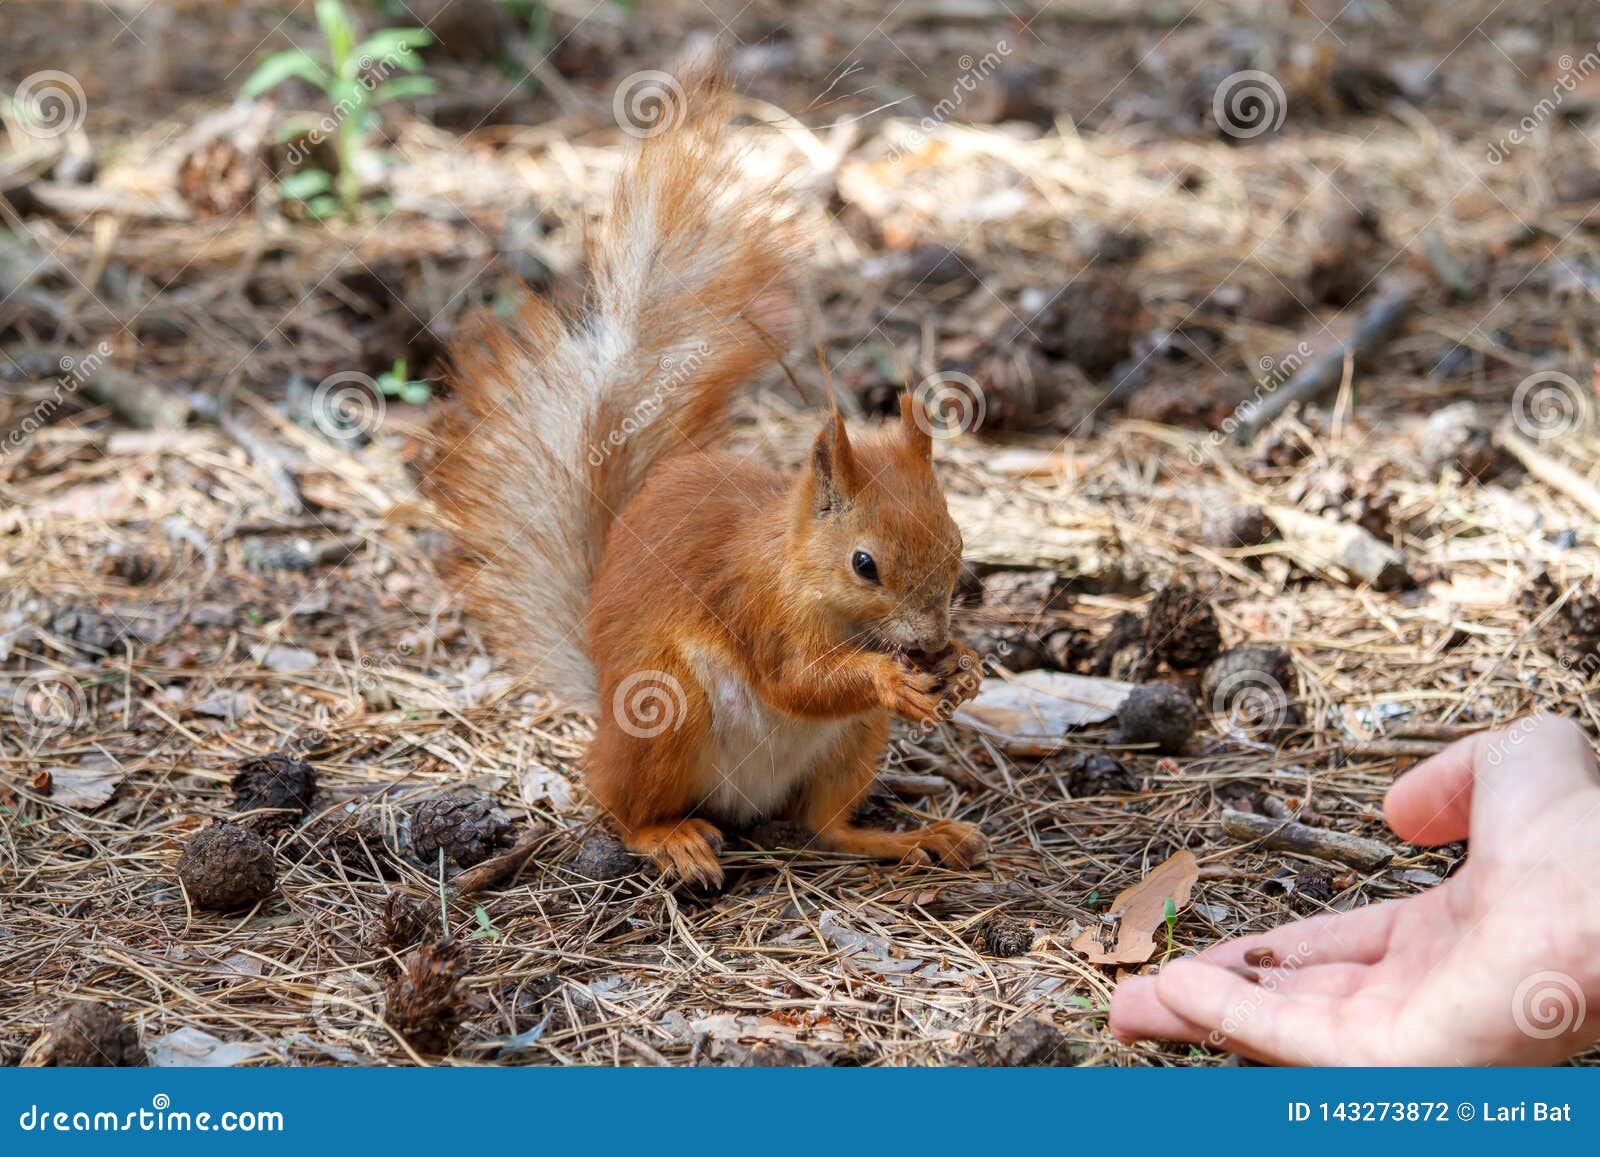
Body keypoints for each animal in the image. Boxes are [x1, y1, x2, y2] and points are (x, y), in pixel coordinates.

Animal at [429, 76, 986, 887]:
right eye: (864, 563)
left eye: (958, 546)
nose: (930, 639)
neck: (802, 573)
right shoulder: (754, 604)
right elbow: (796, 680)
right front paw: (893, 677)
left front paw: (965, 667)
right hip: (665, 708)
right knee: (619, 805)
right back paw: (672, 839)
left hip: (851, 745)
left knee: (825, 826)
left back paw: (911, 839)